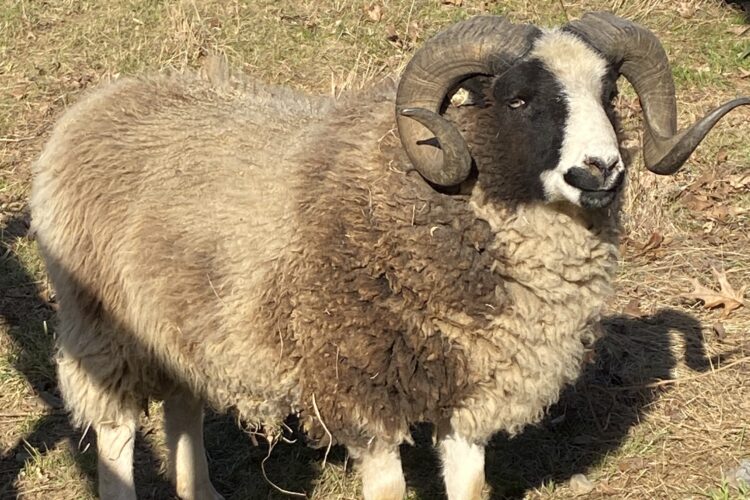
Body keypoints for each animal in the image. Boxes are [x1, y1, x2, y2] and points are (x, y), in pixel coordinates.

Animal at [30, 12, 749, 500]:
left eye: (610, 94)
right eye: (517, 99)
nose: (599, 170)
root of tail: (99, 102)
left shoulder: (475, 390)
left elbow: (470, 486)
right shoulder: (361, 387)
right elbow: (389, 489)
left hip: (181, 323)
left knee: (183, 402)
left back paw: (201, 492)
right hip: (103, 329)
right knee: (116, 430)